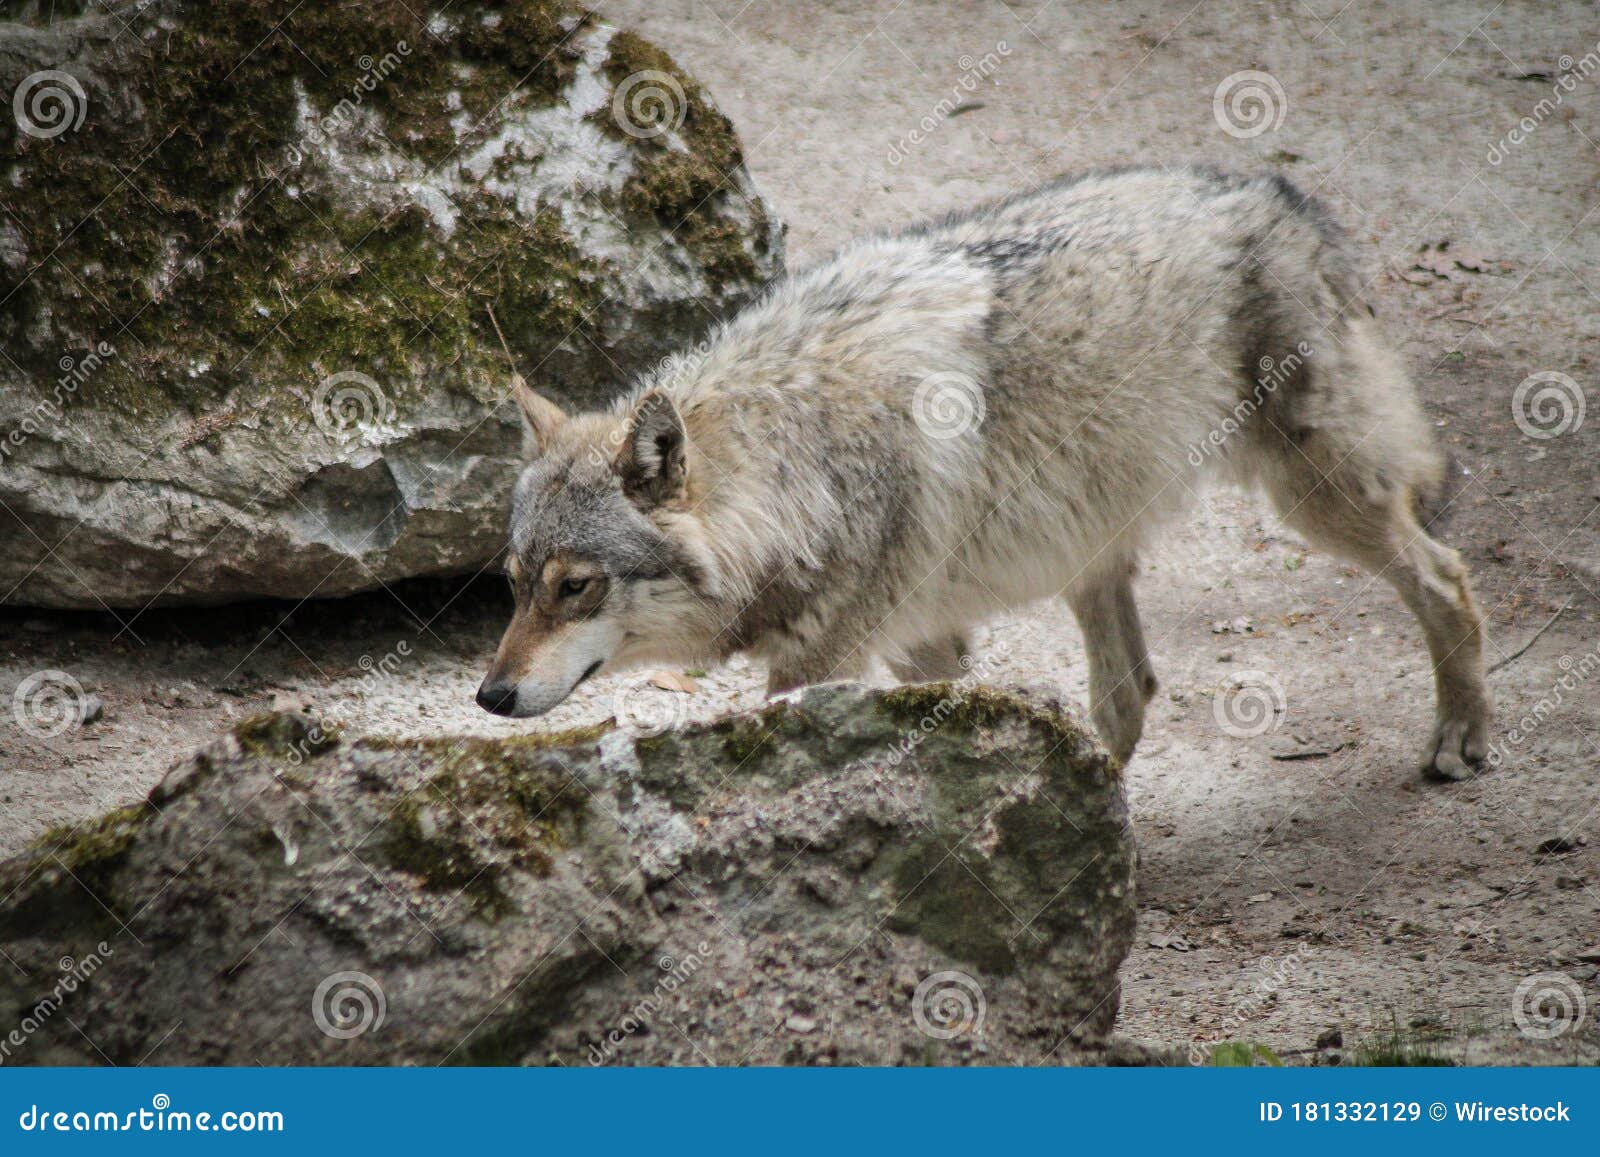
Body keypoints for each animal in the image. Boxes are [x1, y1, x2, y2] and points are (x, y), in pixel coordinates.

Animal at [477, 166, 1490, 779]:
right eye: (516, 585)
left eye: (575, 587)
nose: (488, 696)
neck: (802, 460)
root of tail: (1282, 195)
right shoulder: (921, 641)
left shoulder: (827, 661)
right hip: (1092, 544)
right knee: (1127, 697)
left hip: (1313, 499)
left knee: (1448, 574)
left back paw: (1462, 734)